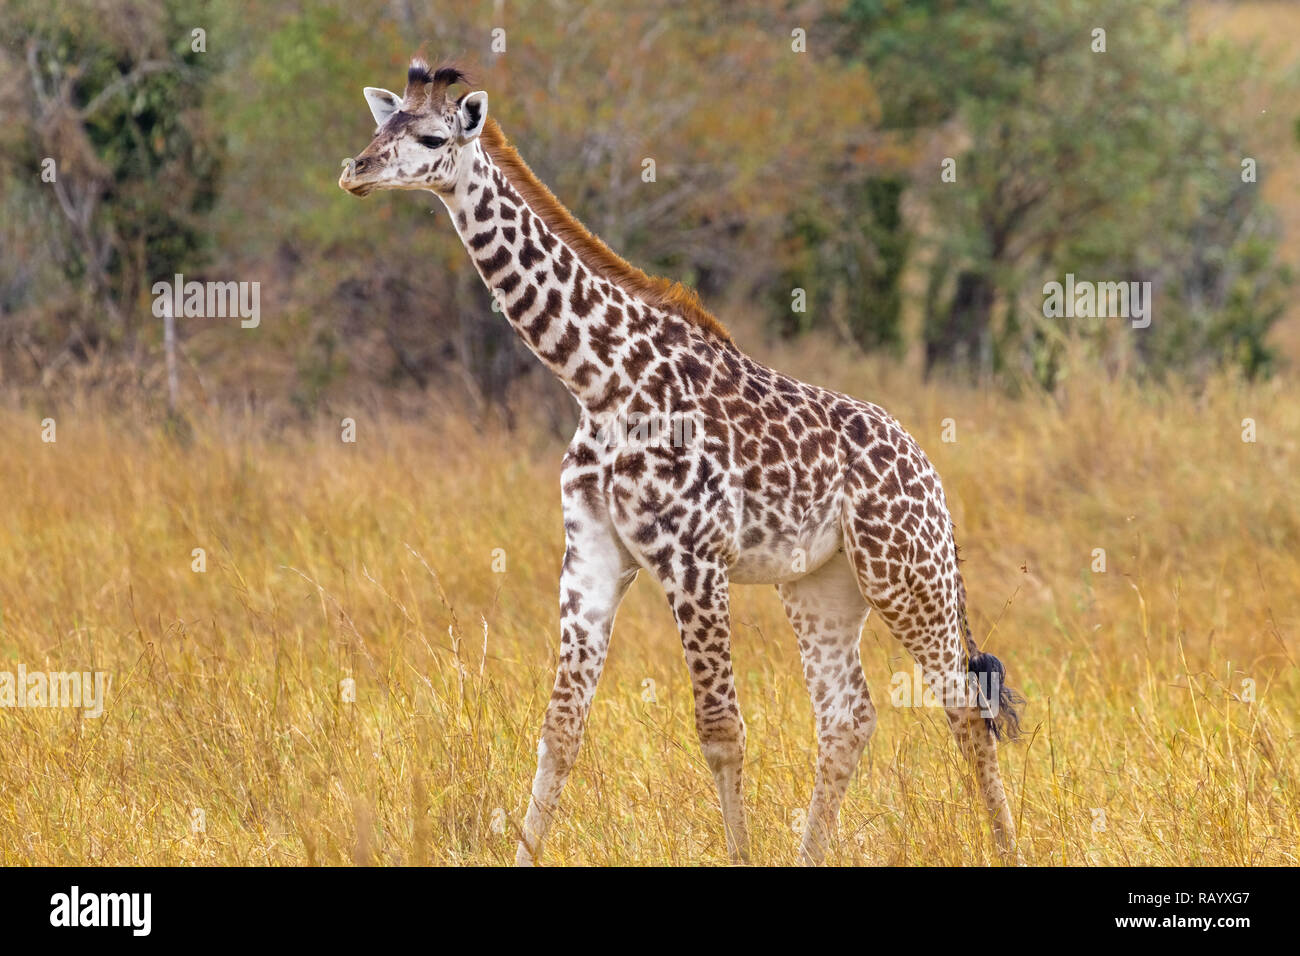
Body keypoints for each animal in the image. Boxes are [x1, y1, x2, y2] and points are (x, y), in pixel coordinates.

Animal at [339, 58, 1024, 866]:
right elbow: (560, 730)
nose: (355, 171)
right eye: (381, 124)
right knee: (848, 716)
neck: (598, 380)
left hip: (909, 574)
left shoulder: (694, 558)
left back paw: (1008, 850)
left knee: (964, 707)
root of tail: (929, 473)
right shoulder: (593, 555)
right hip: (821, 586)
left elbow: (722, 732)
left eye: (431, 138)